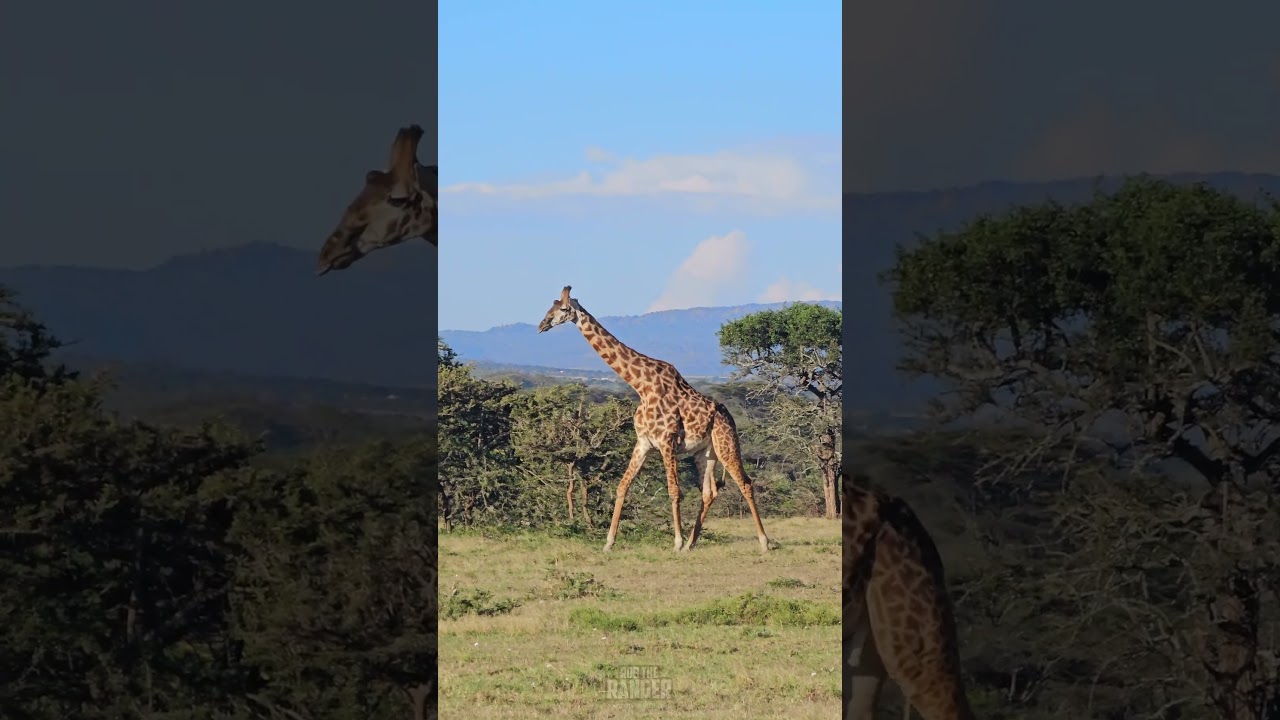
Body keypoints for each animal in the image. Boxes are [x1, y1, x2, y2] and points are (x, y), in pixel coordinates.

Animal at [537, 286, 770, 554]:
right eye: (551, 307)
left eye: (563, 309)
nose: (542, 325)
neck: (642, 385)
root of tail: (728, 415)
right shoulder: (643, 443)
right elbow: (622, 486)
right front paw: (609, 542)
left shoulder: (667, 442)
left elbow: (674, 490)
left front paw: (676, 542)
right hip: (705, 452)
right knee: (709, 492)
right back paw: (692, 543)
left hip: (726, 444)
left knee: (745, 483)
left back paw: (764, 541)